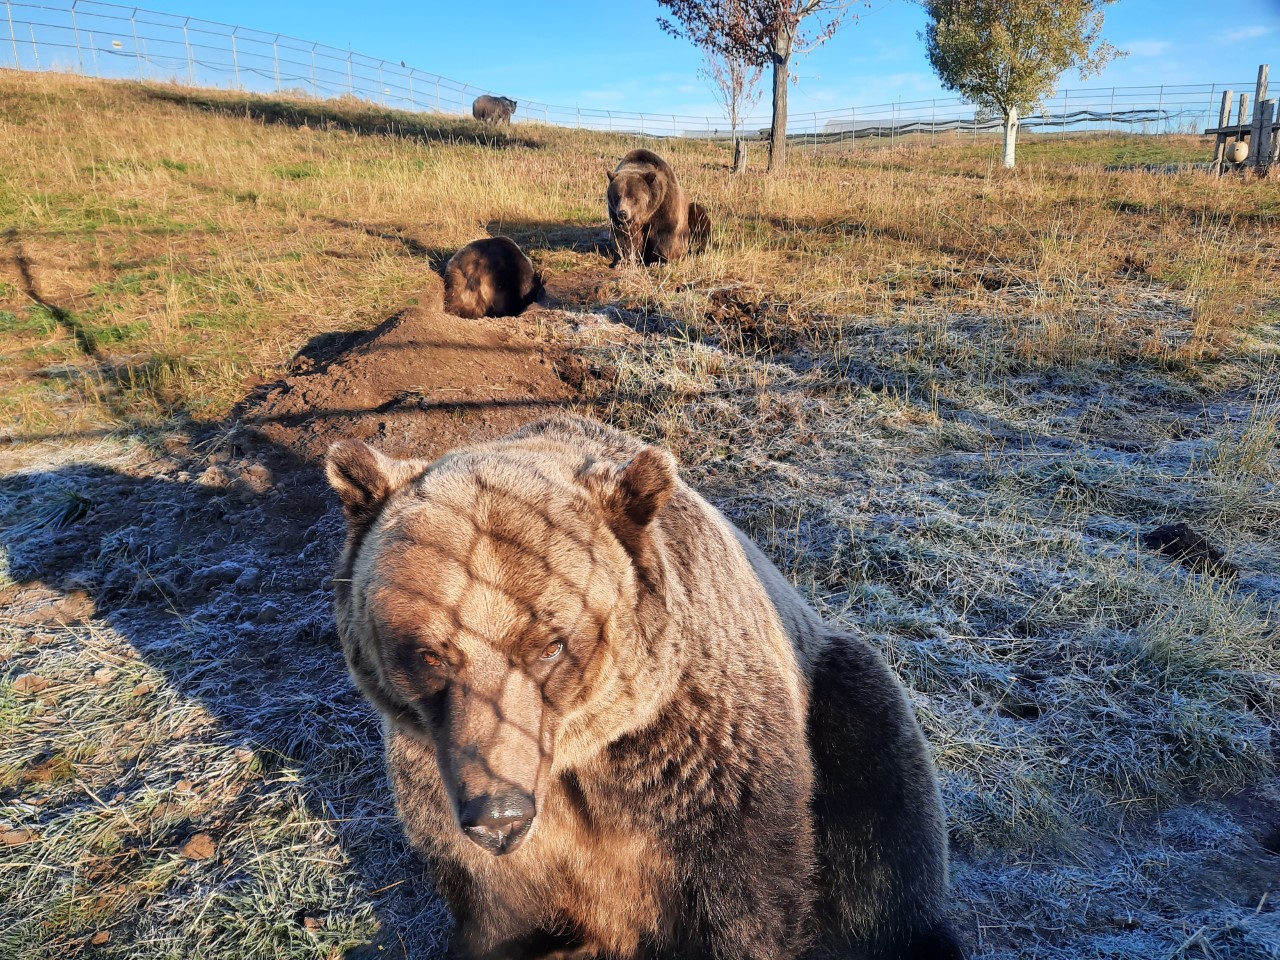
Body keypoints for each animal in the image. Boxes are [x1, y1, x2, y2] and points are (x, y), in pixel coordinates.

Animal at [325, 415, 965, 960]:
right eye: (431, 654)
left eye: (550, 645)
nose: (500, 814)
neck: (577, 759)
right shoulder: (441, 782)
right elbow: (496, 910)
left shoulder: (699, 766)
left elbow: (751, 898)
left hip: (839, 701)